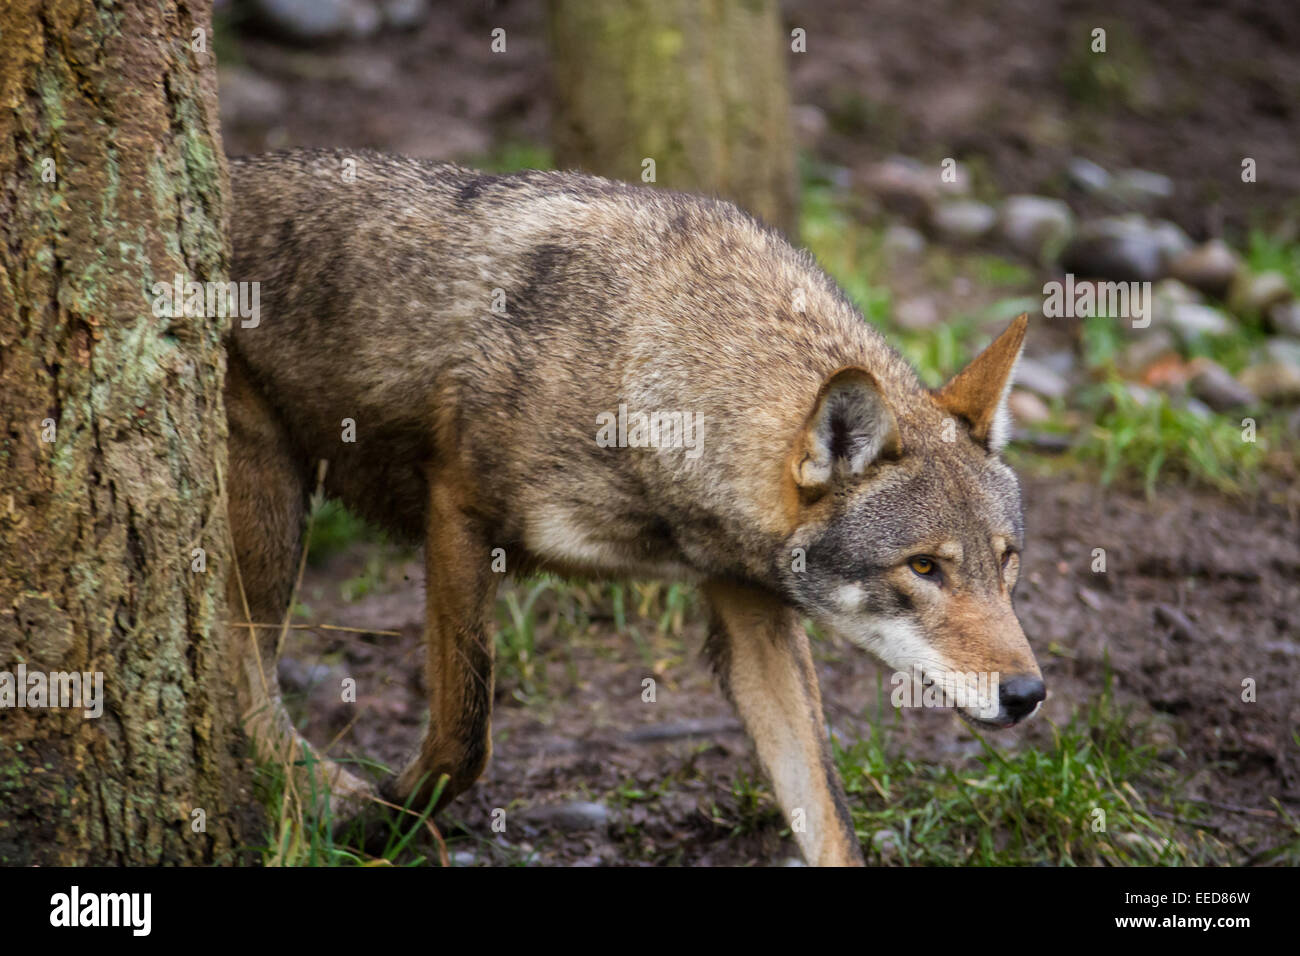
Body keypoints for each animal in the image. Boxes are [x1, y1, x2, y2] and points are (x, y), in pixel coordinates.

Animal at [225, 148, 1044, 867]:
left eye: (1007, 563)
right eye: (925, 567)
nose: (1030, 695)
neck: (642, 364)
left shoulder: (749, 610)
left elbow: (828, 815)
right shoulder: (456, 515)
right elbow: (466, 734)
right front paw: (381, 817)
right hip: (270, 514)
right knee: (247, 672)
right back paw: (323, 801)